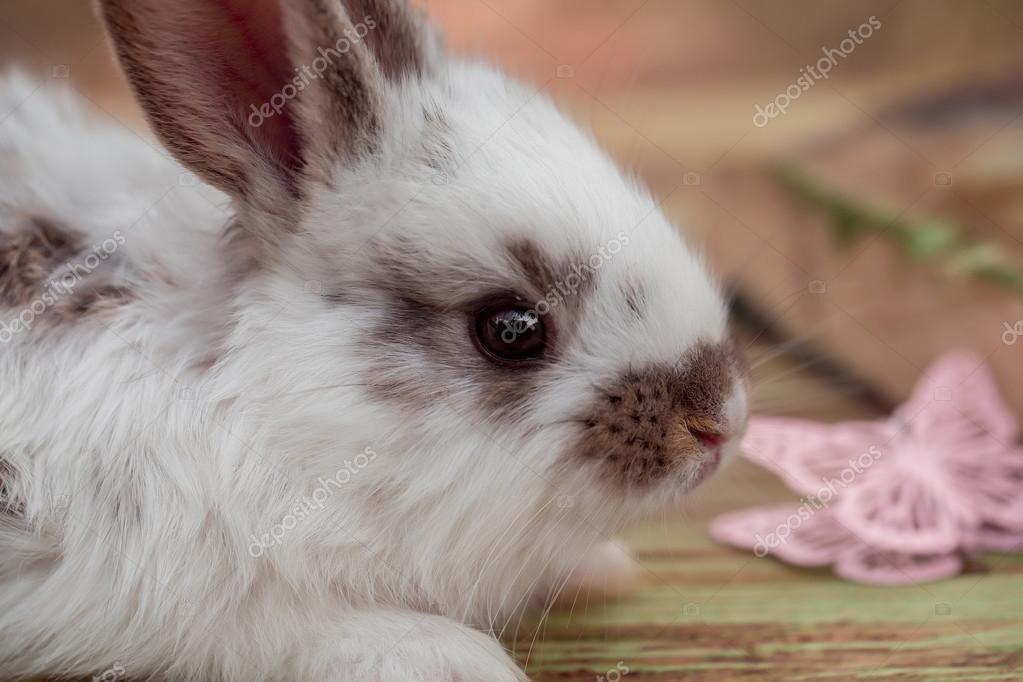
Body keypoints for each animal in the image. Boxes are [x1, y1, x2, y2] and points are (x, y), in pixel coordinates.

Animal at [0, 0, 749, 680]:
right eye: (511, 330)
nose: (719, 426)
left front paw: (605, 570)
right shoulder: (164, 595)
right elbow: (288, 628)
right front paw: (458, 659)